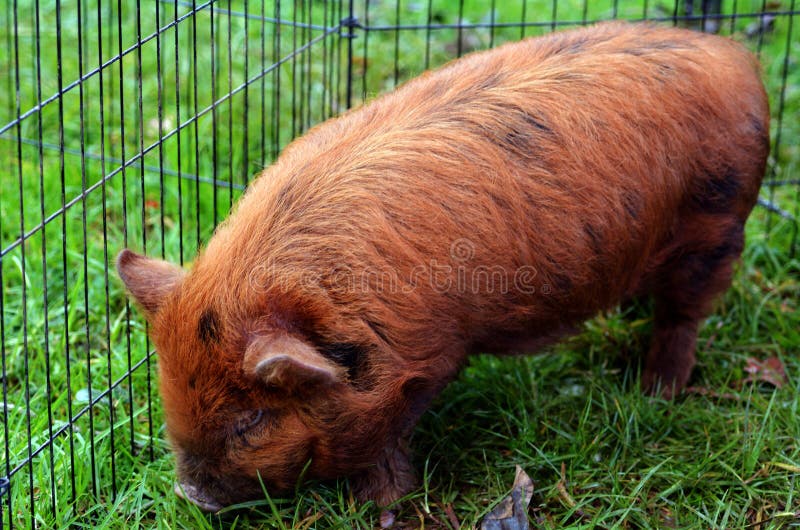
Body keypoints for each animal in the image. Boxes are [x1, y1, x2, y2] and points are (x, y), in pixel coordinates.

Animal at [116, 21, 769, 510]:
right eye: (168, 392)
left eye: (251, 419)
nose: (190, 495)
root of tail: (736, 56)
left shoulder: (418, 359)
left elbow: (383, 443)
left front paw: (381, 508)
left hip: (717, 225)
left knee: (683, 316)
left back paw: (654, 392)